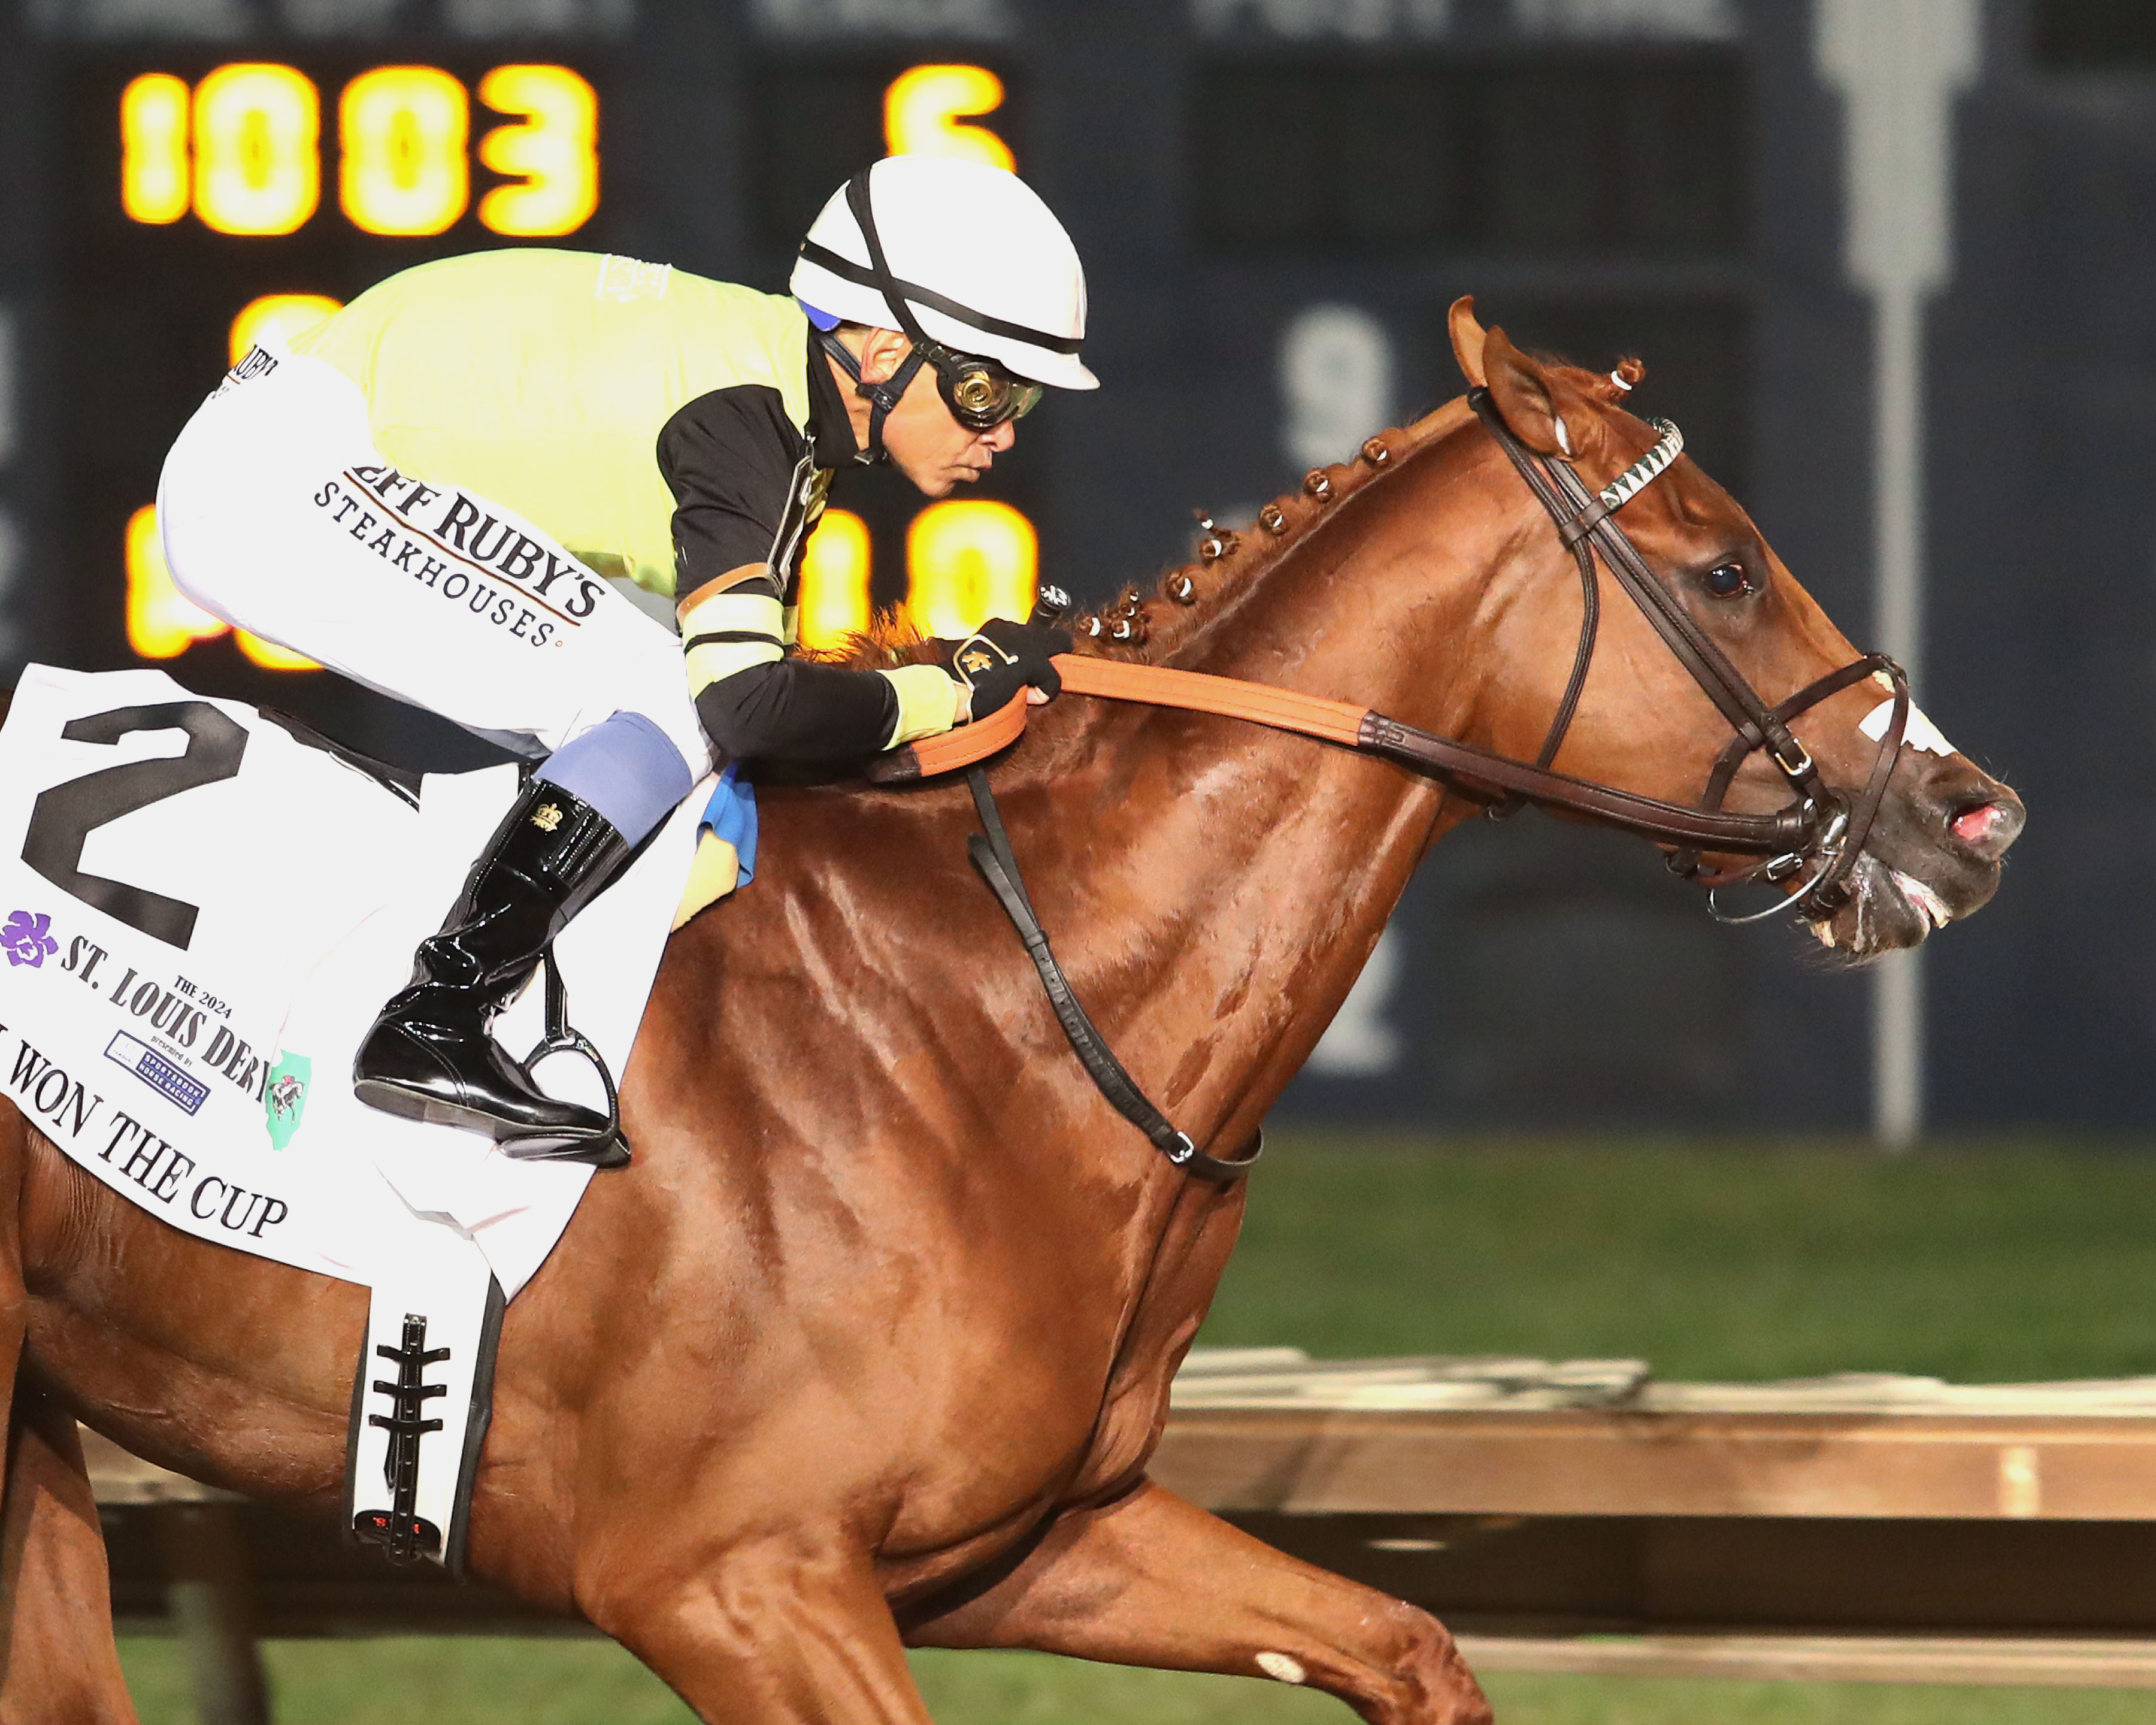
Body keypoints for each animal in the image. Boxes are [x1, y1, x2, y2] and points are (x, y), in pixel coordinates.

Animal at [0, 306, 2023, 1723]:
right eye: (1725, 569)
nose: (1971, 811)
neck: (1004, 1015)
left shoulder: (1021, 1542)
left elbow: (1407, 1644)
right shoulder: (726, 1579)